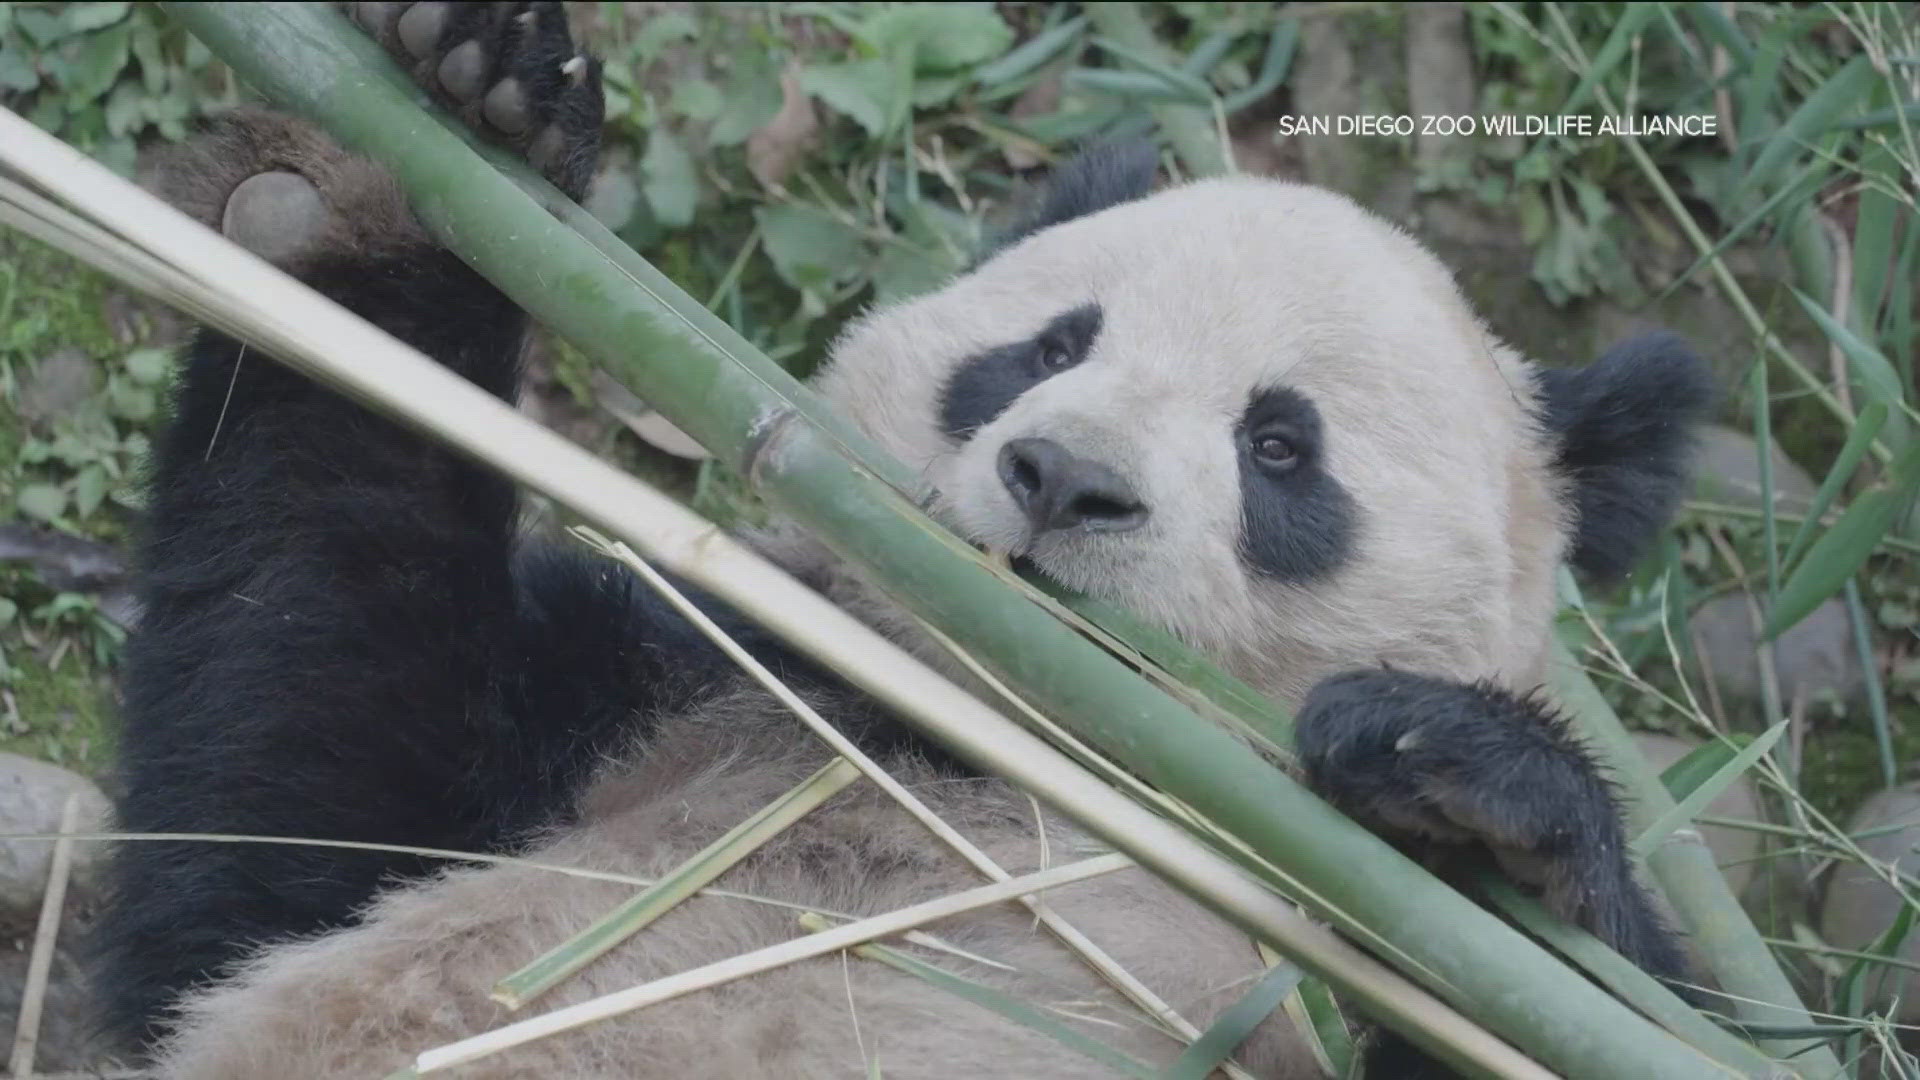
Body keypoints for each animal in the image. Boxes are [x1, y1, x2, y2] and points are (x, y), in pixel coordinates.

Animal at [92, 3, 1714, 1078]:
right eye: (1048, 347)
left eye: (1278, 446)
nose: (1062, 480)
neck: (1005, 761)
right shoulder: (700, 681)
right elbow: (276, 825)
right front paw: (437, 122)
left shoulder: (1322, 958)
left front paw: (1461, 783)